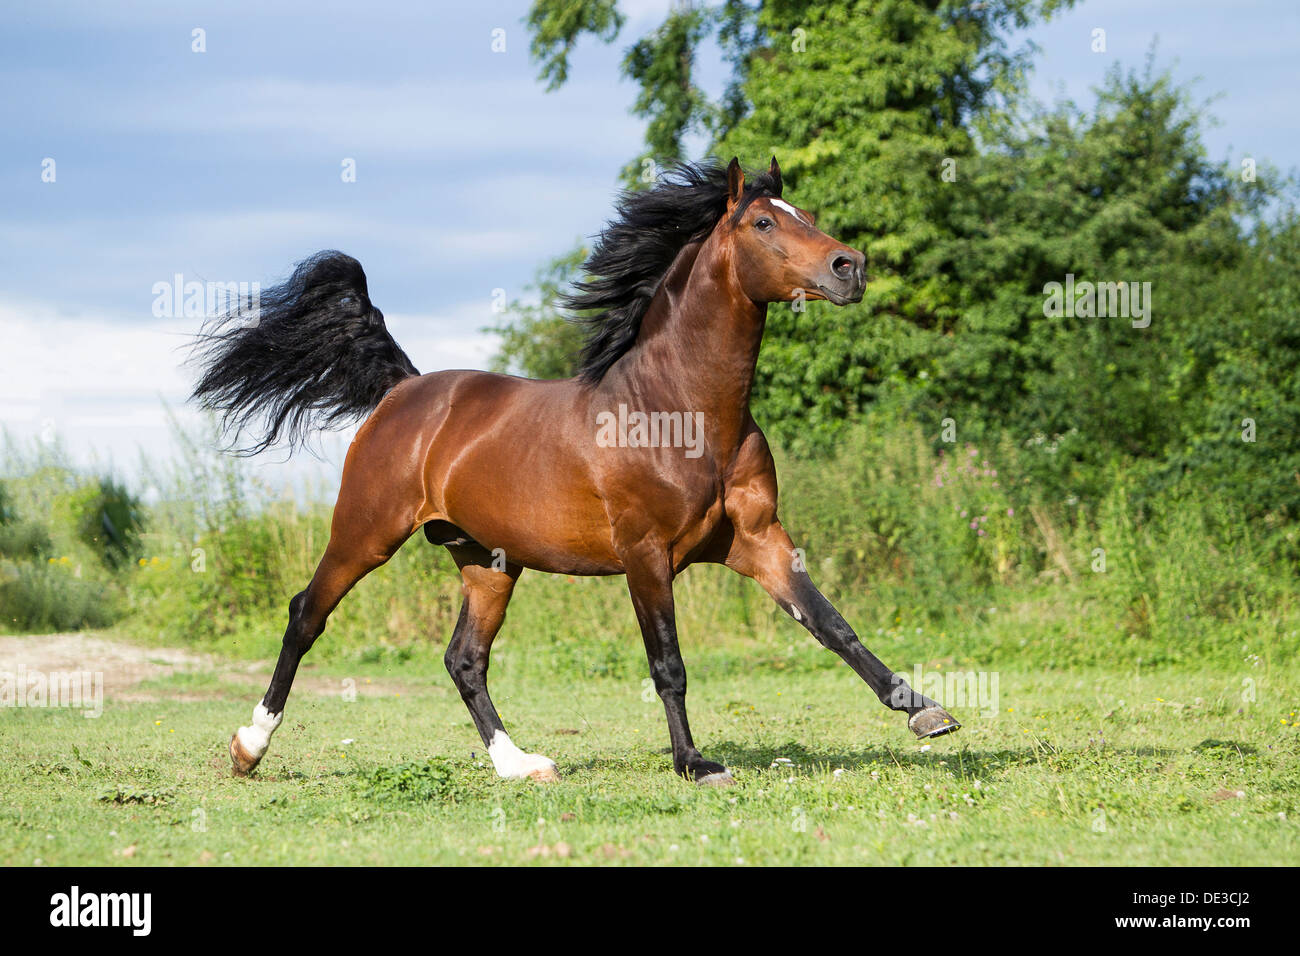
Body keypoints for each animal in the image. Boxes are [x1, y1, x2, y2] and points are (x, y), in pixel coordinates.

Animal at [191, 157, 959, 786]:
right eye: (766, 221)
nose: (850, 267)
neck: (679, 411)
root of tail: (403, 391)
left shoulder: (759, 539)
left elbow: (832, 624)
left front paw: (926, 713)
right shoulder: (646, 553)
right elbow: (668, 662)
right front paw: (695, 763)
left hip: (487, 562)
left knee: (464, 659)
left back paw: (521, 764)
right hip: (366, 532)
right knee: (305, 617)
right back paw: (248, 749)